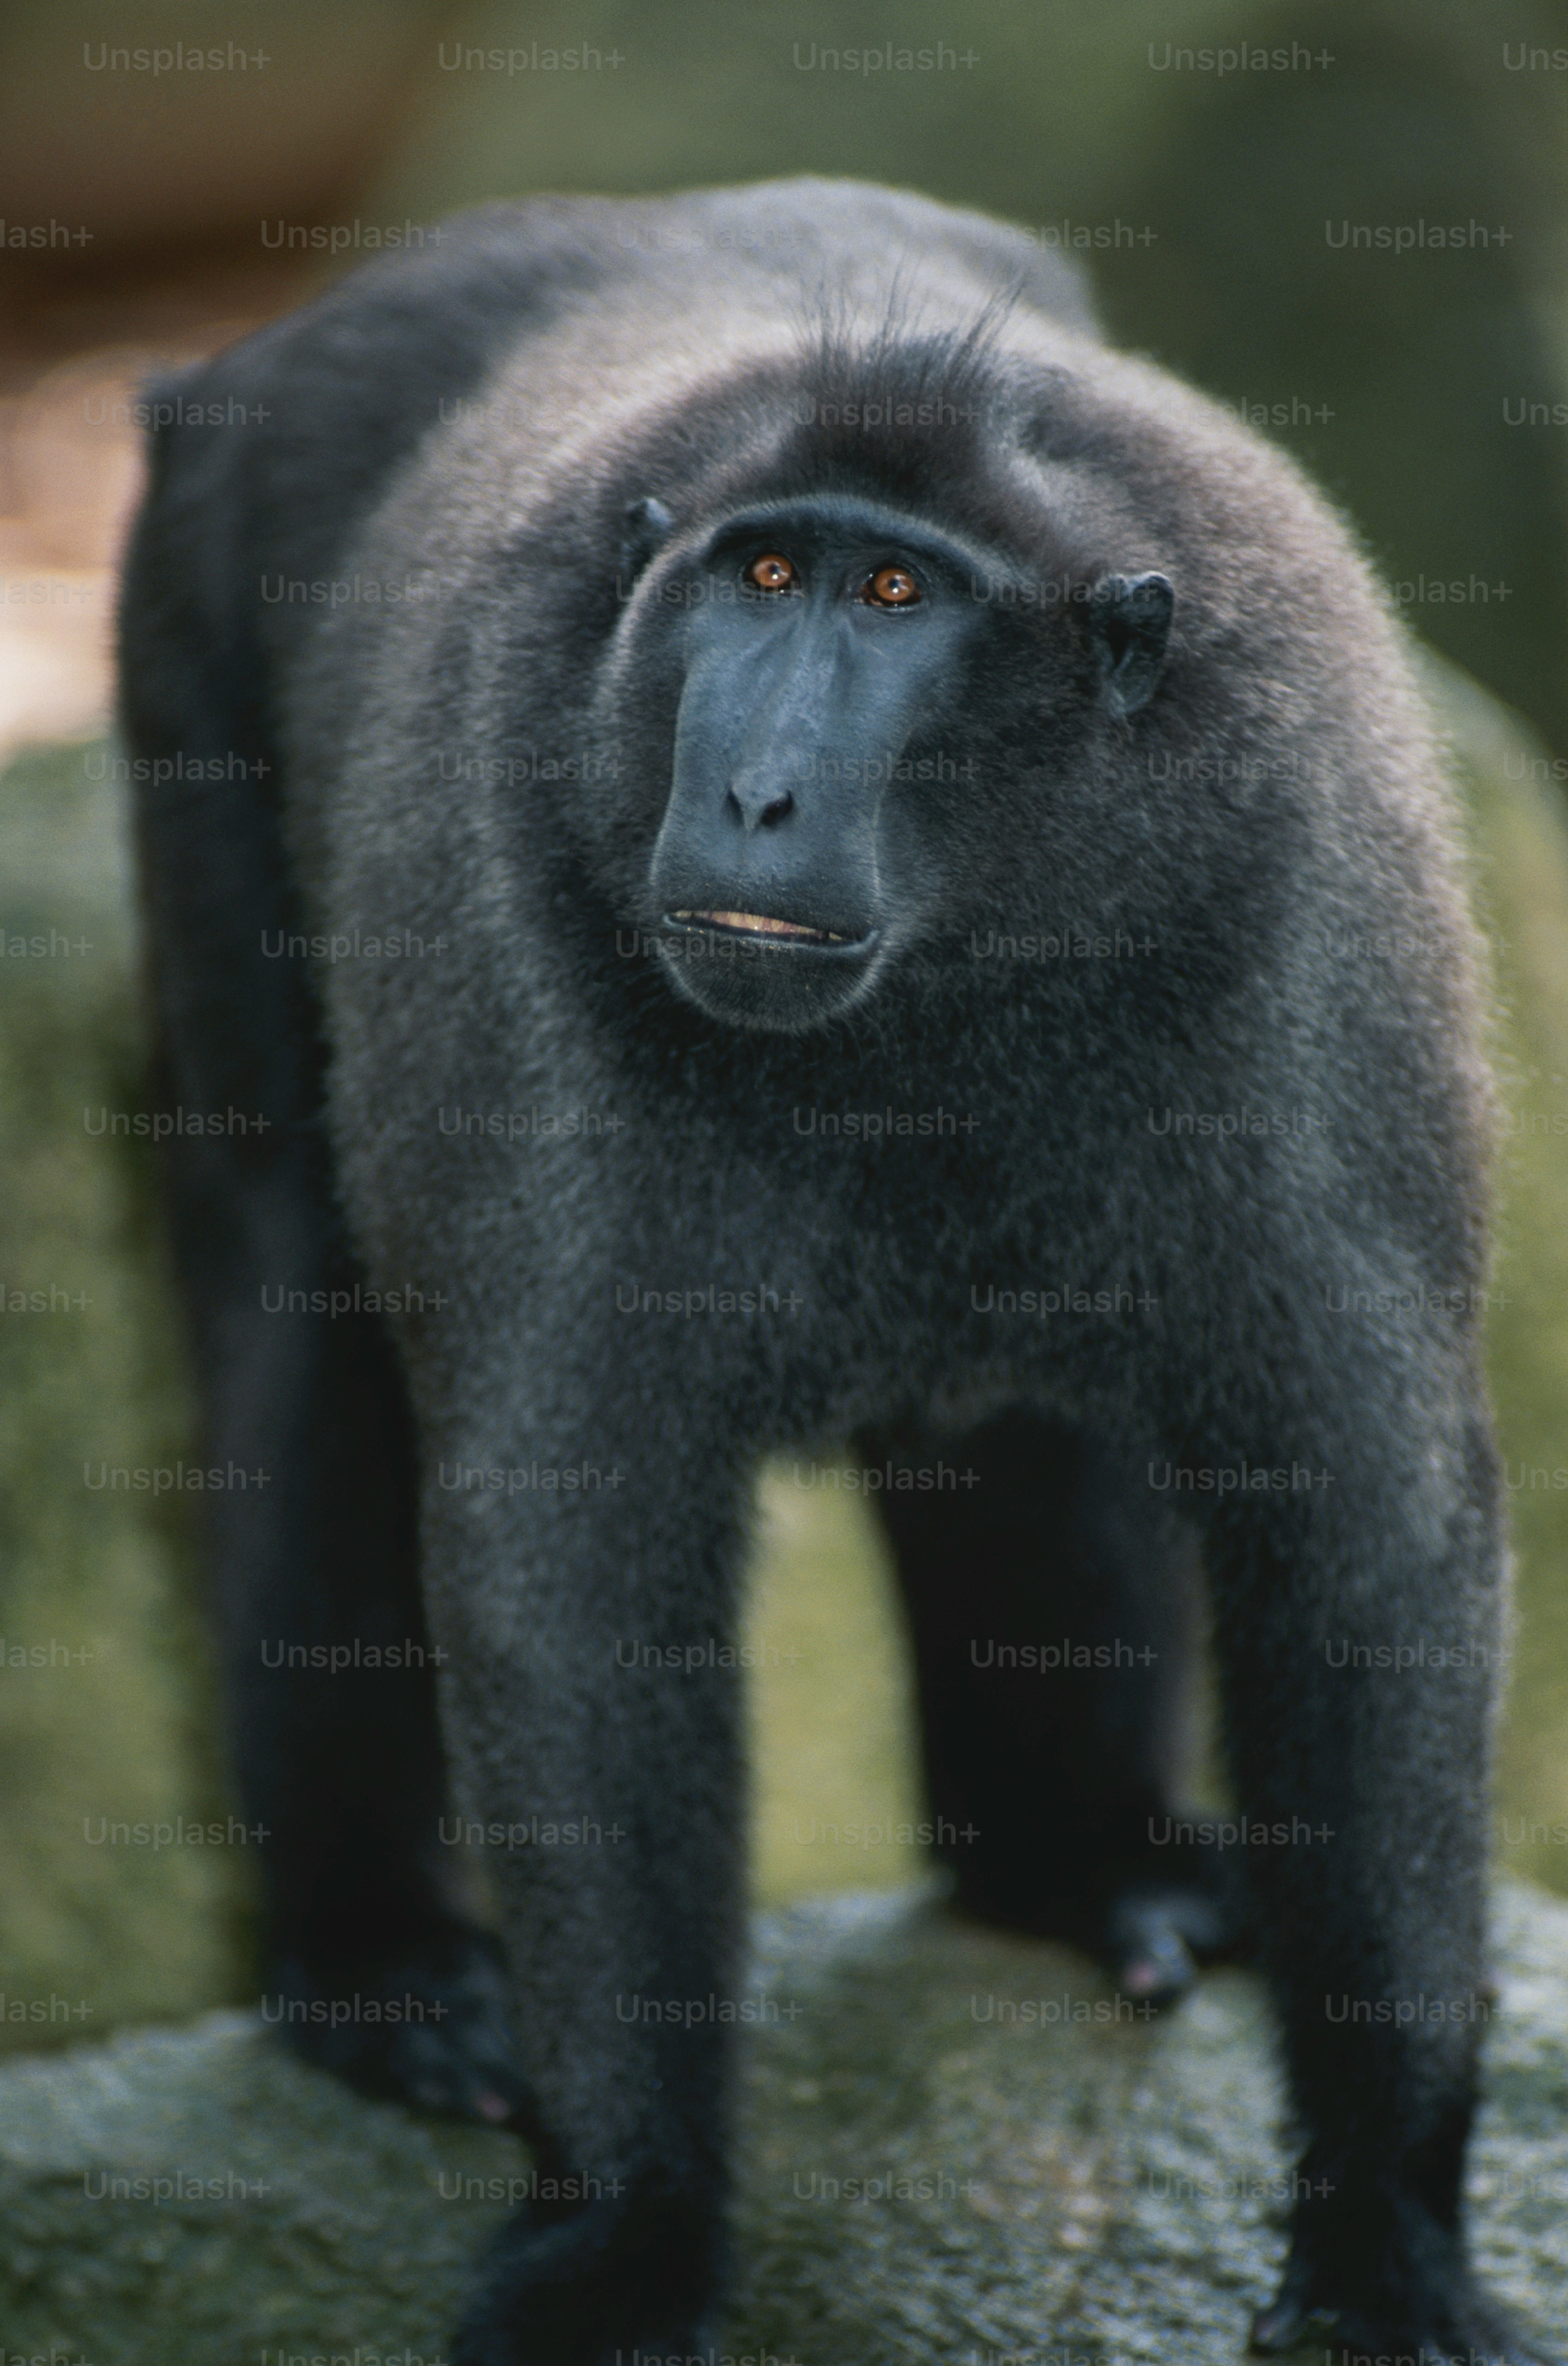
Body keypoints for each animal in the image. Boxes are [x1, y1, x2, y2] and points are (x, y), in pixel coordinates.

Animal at [117, 178, 1543, 2365]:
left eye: (890, 598)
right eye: (763, 572)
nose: (753, 789)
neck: (971, 947)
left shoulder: (1306, 870)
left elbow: (1365, 1519)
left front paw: (1386, 2225)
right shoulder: (511, 861)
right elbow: (571, 1555)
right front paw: (625, 2229)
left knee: (1031, 1400)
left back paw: (1072, 1858)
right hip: (184, 611)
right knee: (297, 1282)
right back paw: (375, 1964)